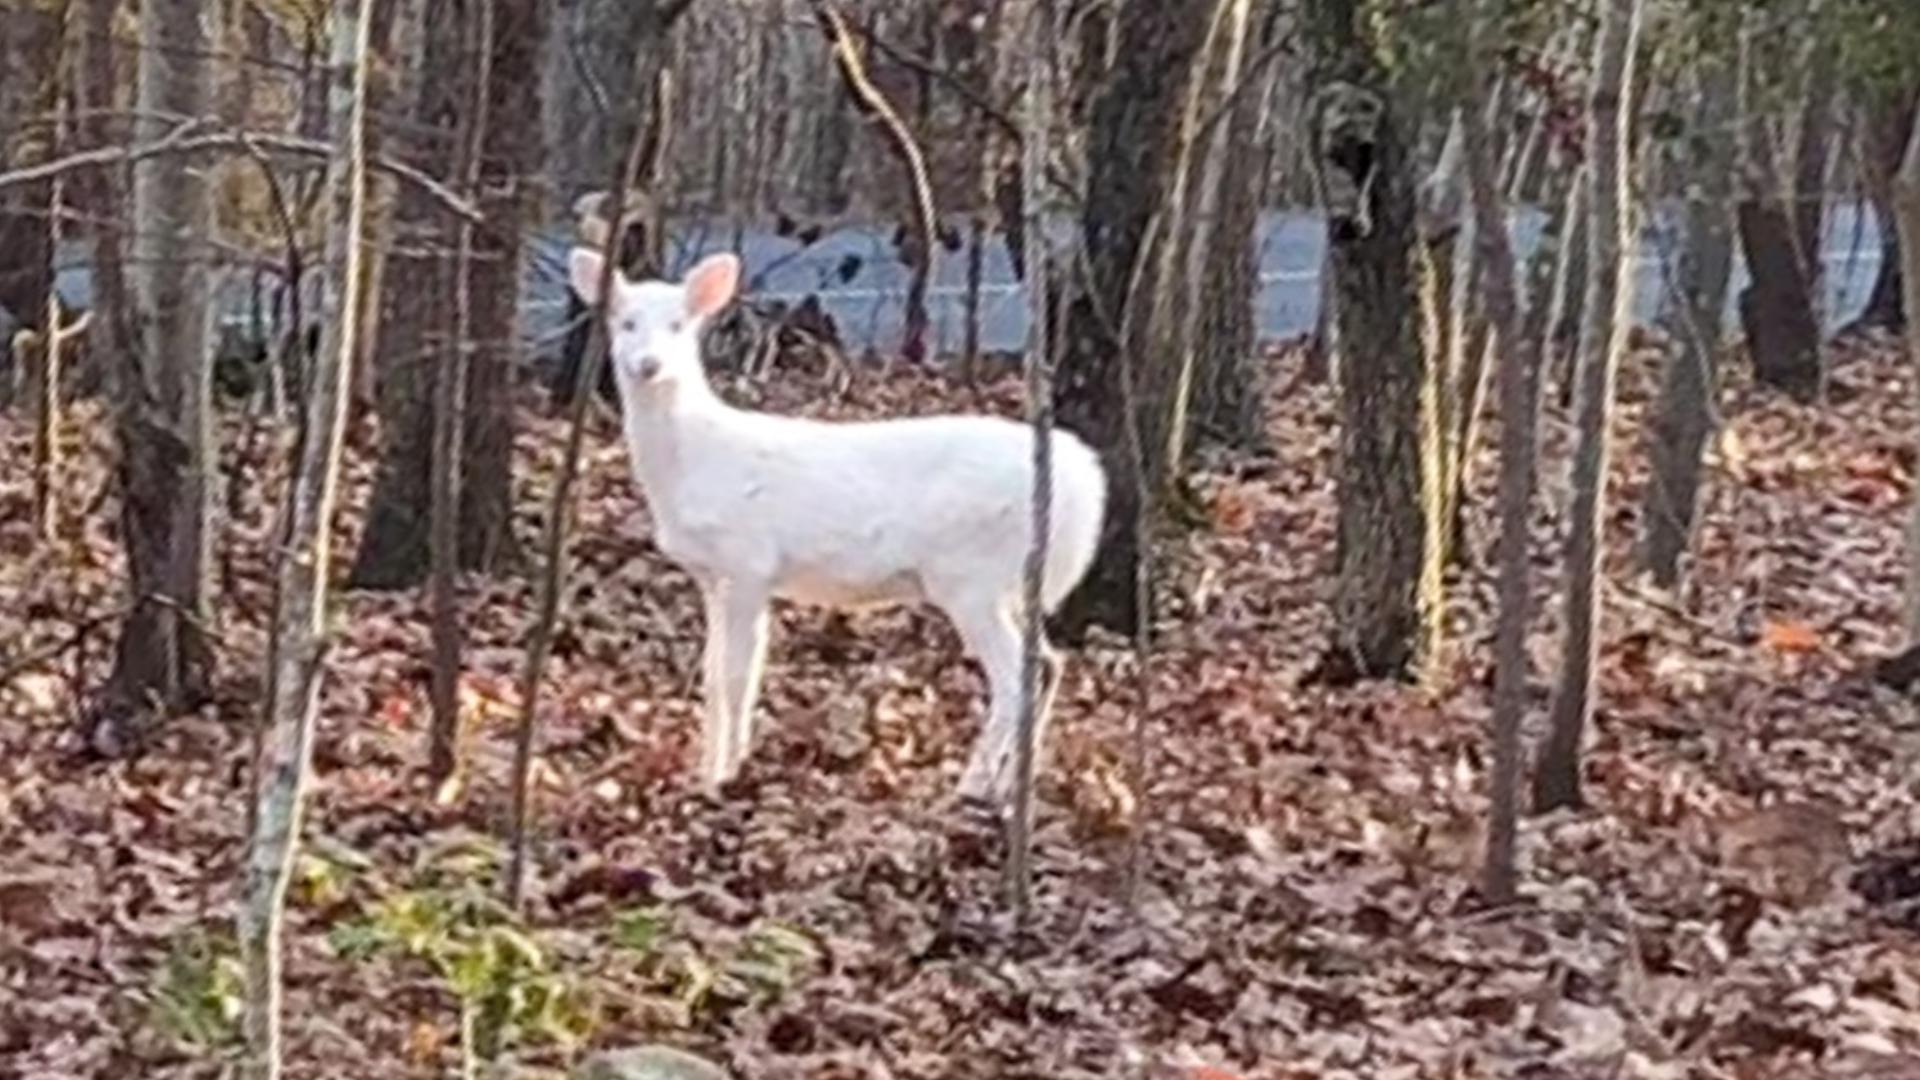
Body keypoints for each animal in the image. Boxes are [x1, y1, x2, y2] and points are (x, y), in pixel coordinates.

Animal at [566, 245, 1108, 806]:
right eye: (626, 322)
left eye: (679, 324)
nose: (648, 365)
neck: (693, 461)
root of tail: (1083, 478)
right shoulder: (711, 575)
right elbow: (714, 675)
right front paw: (707, 771)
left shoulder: (749, 561)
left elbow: (739, 675)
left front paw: (724, 777)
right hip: (1011, 581)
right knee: (1047, 663)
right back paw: (1010, 786)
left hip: (973, 574)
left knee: (1015, 676)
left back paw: (973, 784)